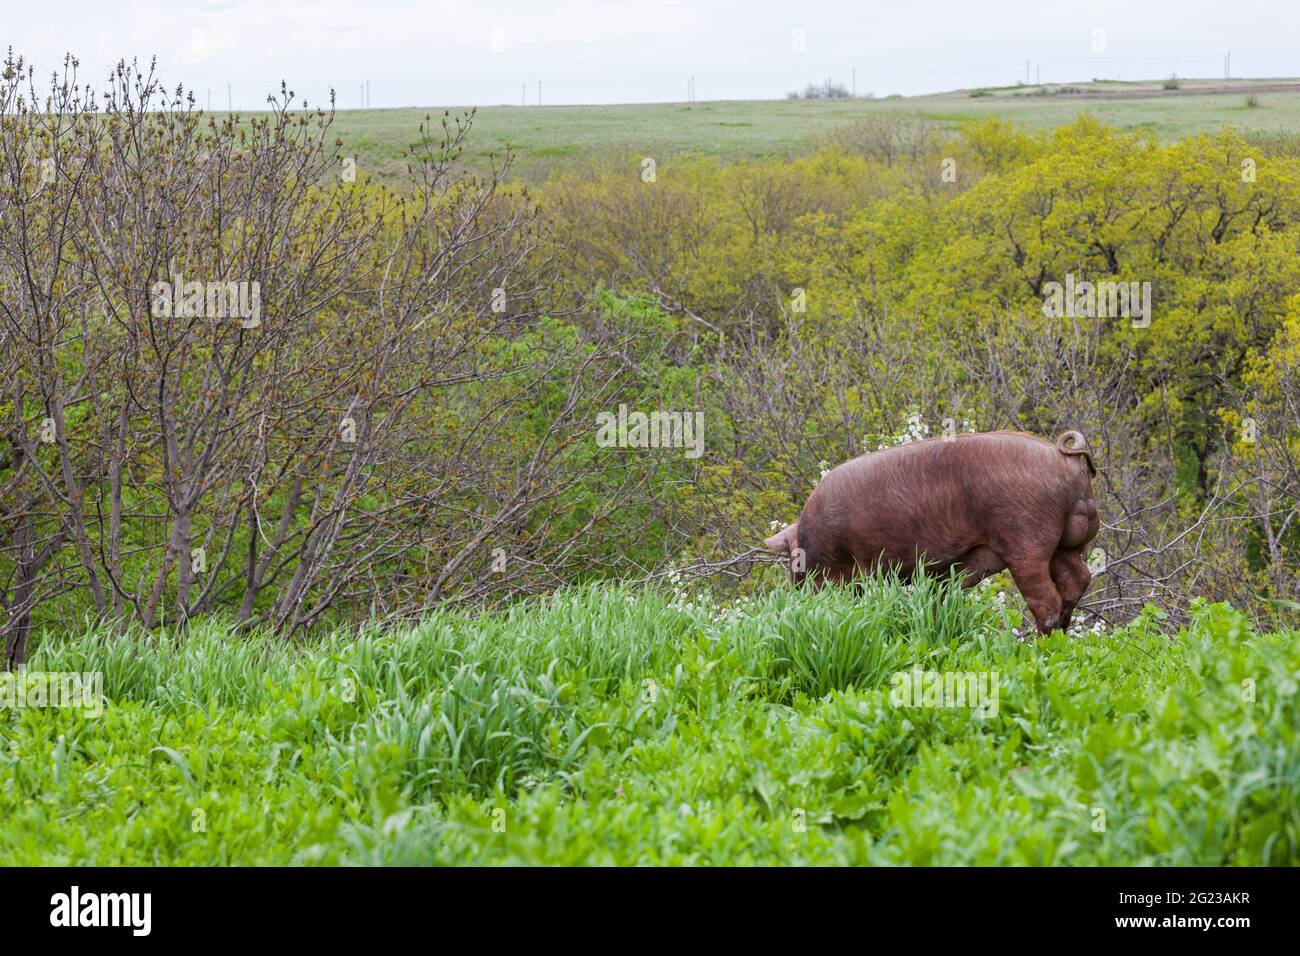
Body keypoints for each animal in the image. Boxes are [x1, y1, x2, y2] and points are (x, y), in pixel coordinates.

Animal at [763, 430, 1100, 636]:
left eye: (792, 559)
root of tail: (1064, 459)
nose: (795, 590)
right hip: (1068, 545)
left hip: (1025, 540)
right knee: (1077, 579)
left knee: (1047, 599)